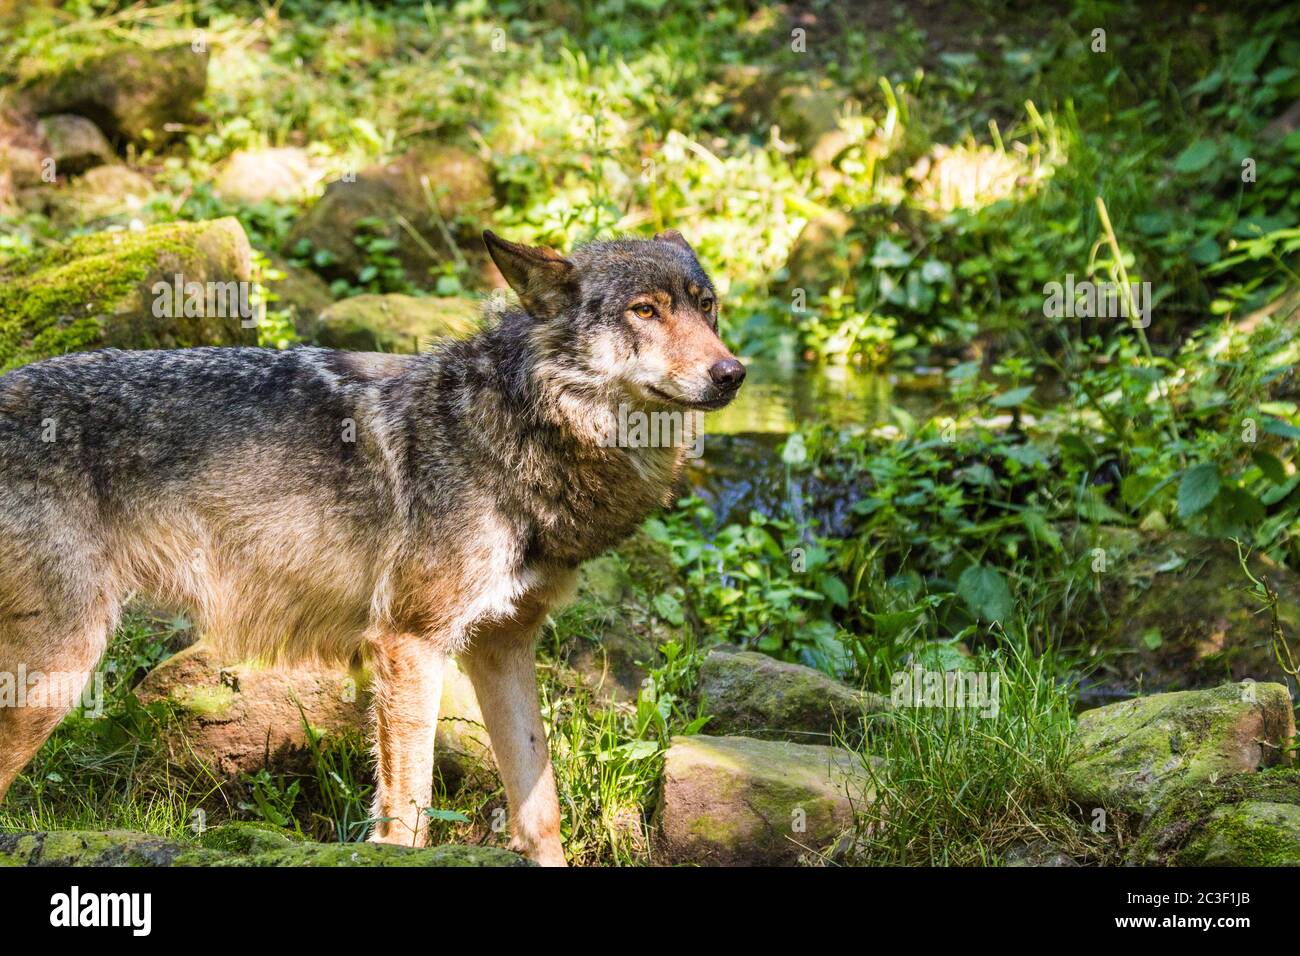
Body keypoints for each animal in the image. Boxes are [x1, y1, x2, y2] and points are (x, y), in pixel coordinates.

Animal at [0, 229, 744, 865]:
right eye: (644, 311)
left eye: (706, 306)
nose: (731, 372)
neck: (511, 429)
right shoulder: (408, 644)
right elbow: (408, 815)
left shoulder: (501, 645)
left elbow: (541, 810)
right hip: (58, 670)